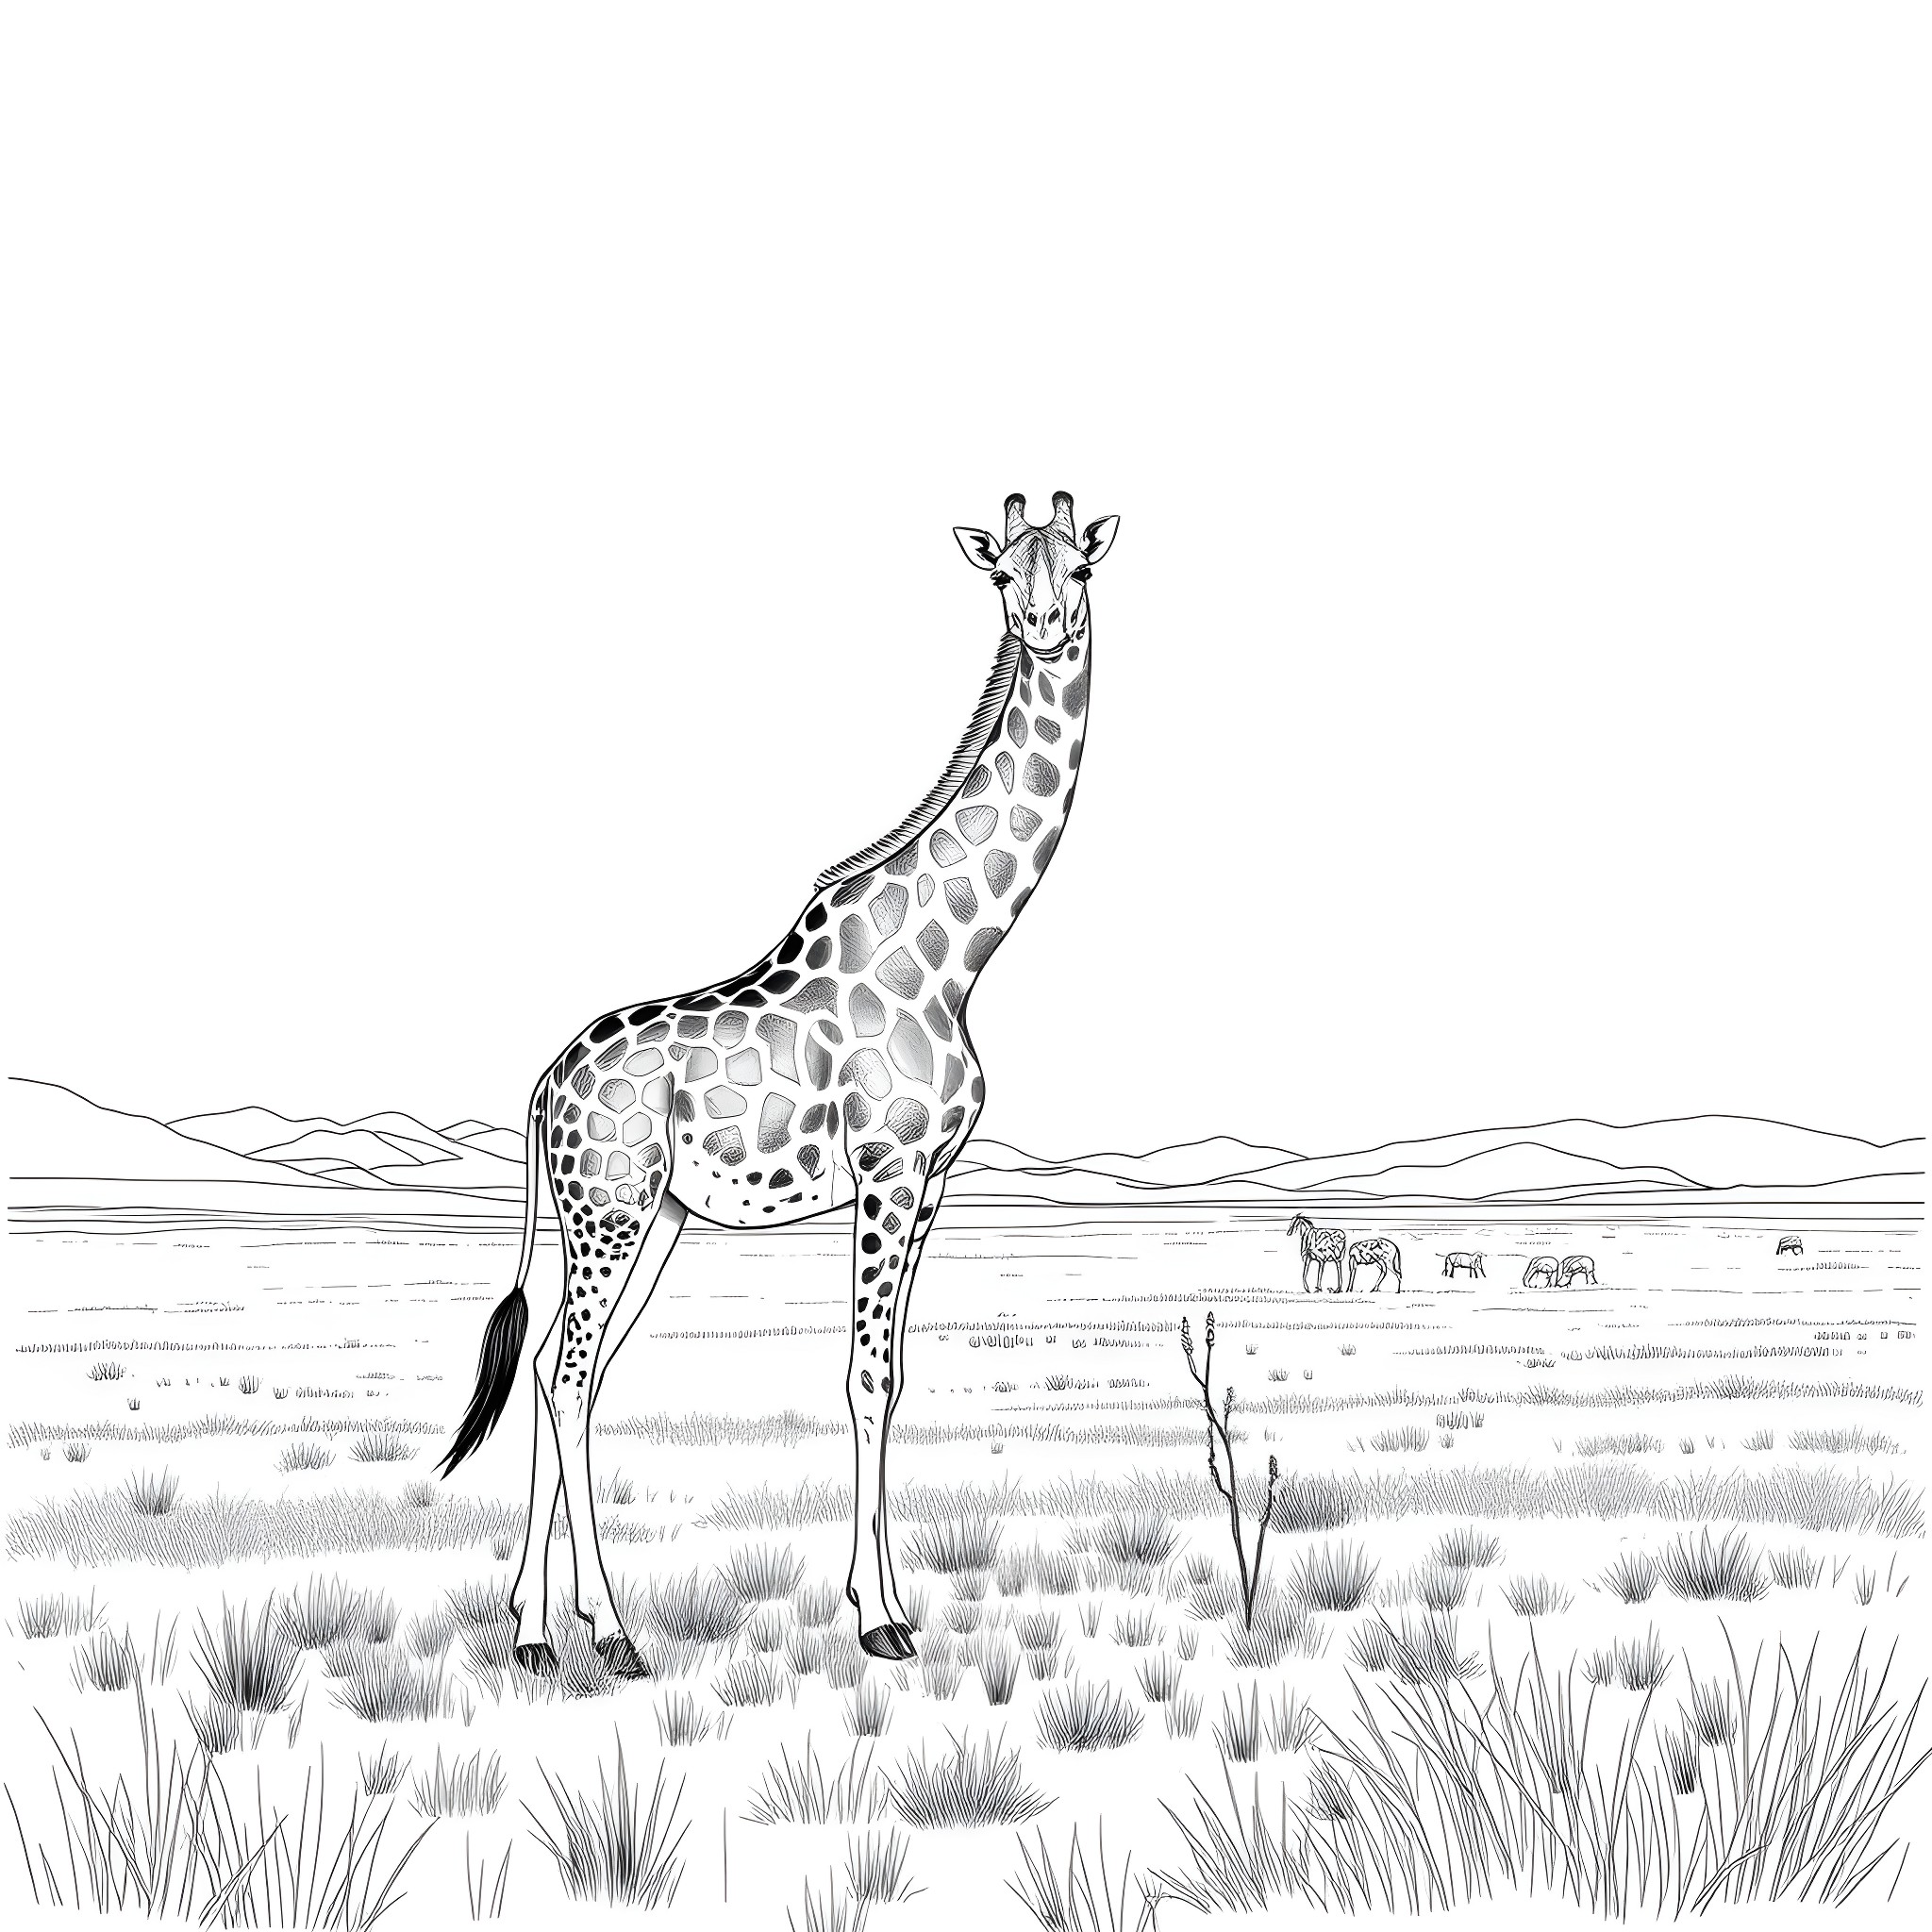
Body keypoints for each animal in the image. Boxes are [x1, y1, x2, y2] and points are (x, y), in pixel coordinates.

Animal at [438, 491, 1118, 1671]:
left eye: (1078, 566)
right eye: (1001, 576)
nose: (1039, 625)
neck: (950, 957)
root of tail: (541, 1089)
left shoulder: (931, 1182)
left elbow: (895, 1375)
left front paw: (885, 1602)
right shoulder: (886, 1169)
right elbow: (864, 1375)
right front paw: (881, 1616)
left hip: (643, 1218)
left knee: (563, 1372)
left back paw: (535, 1627)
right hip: (610, 1210)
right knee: (565, 1376)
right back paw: (611, 1631)